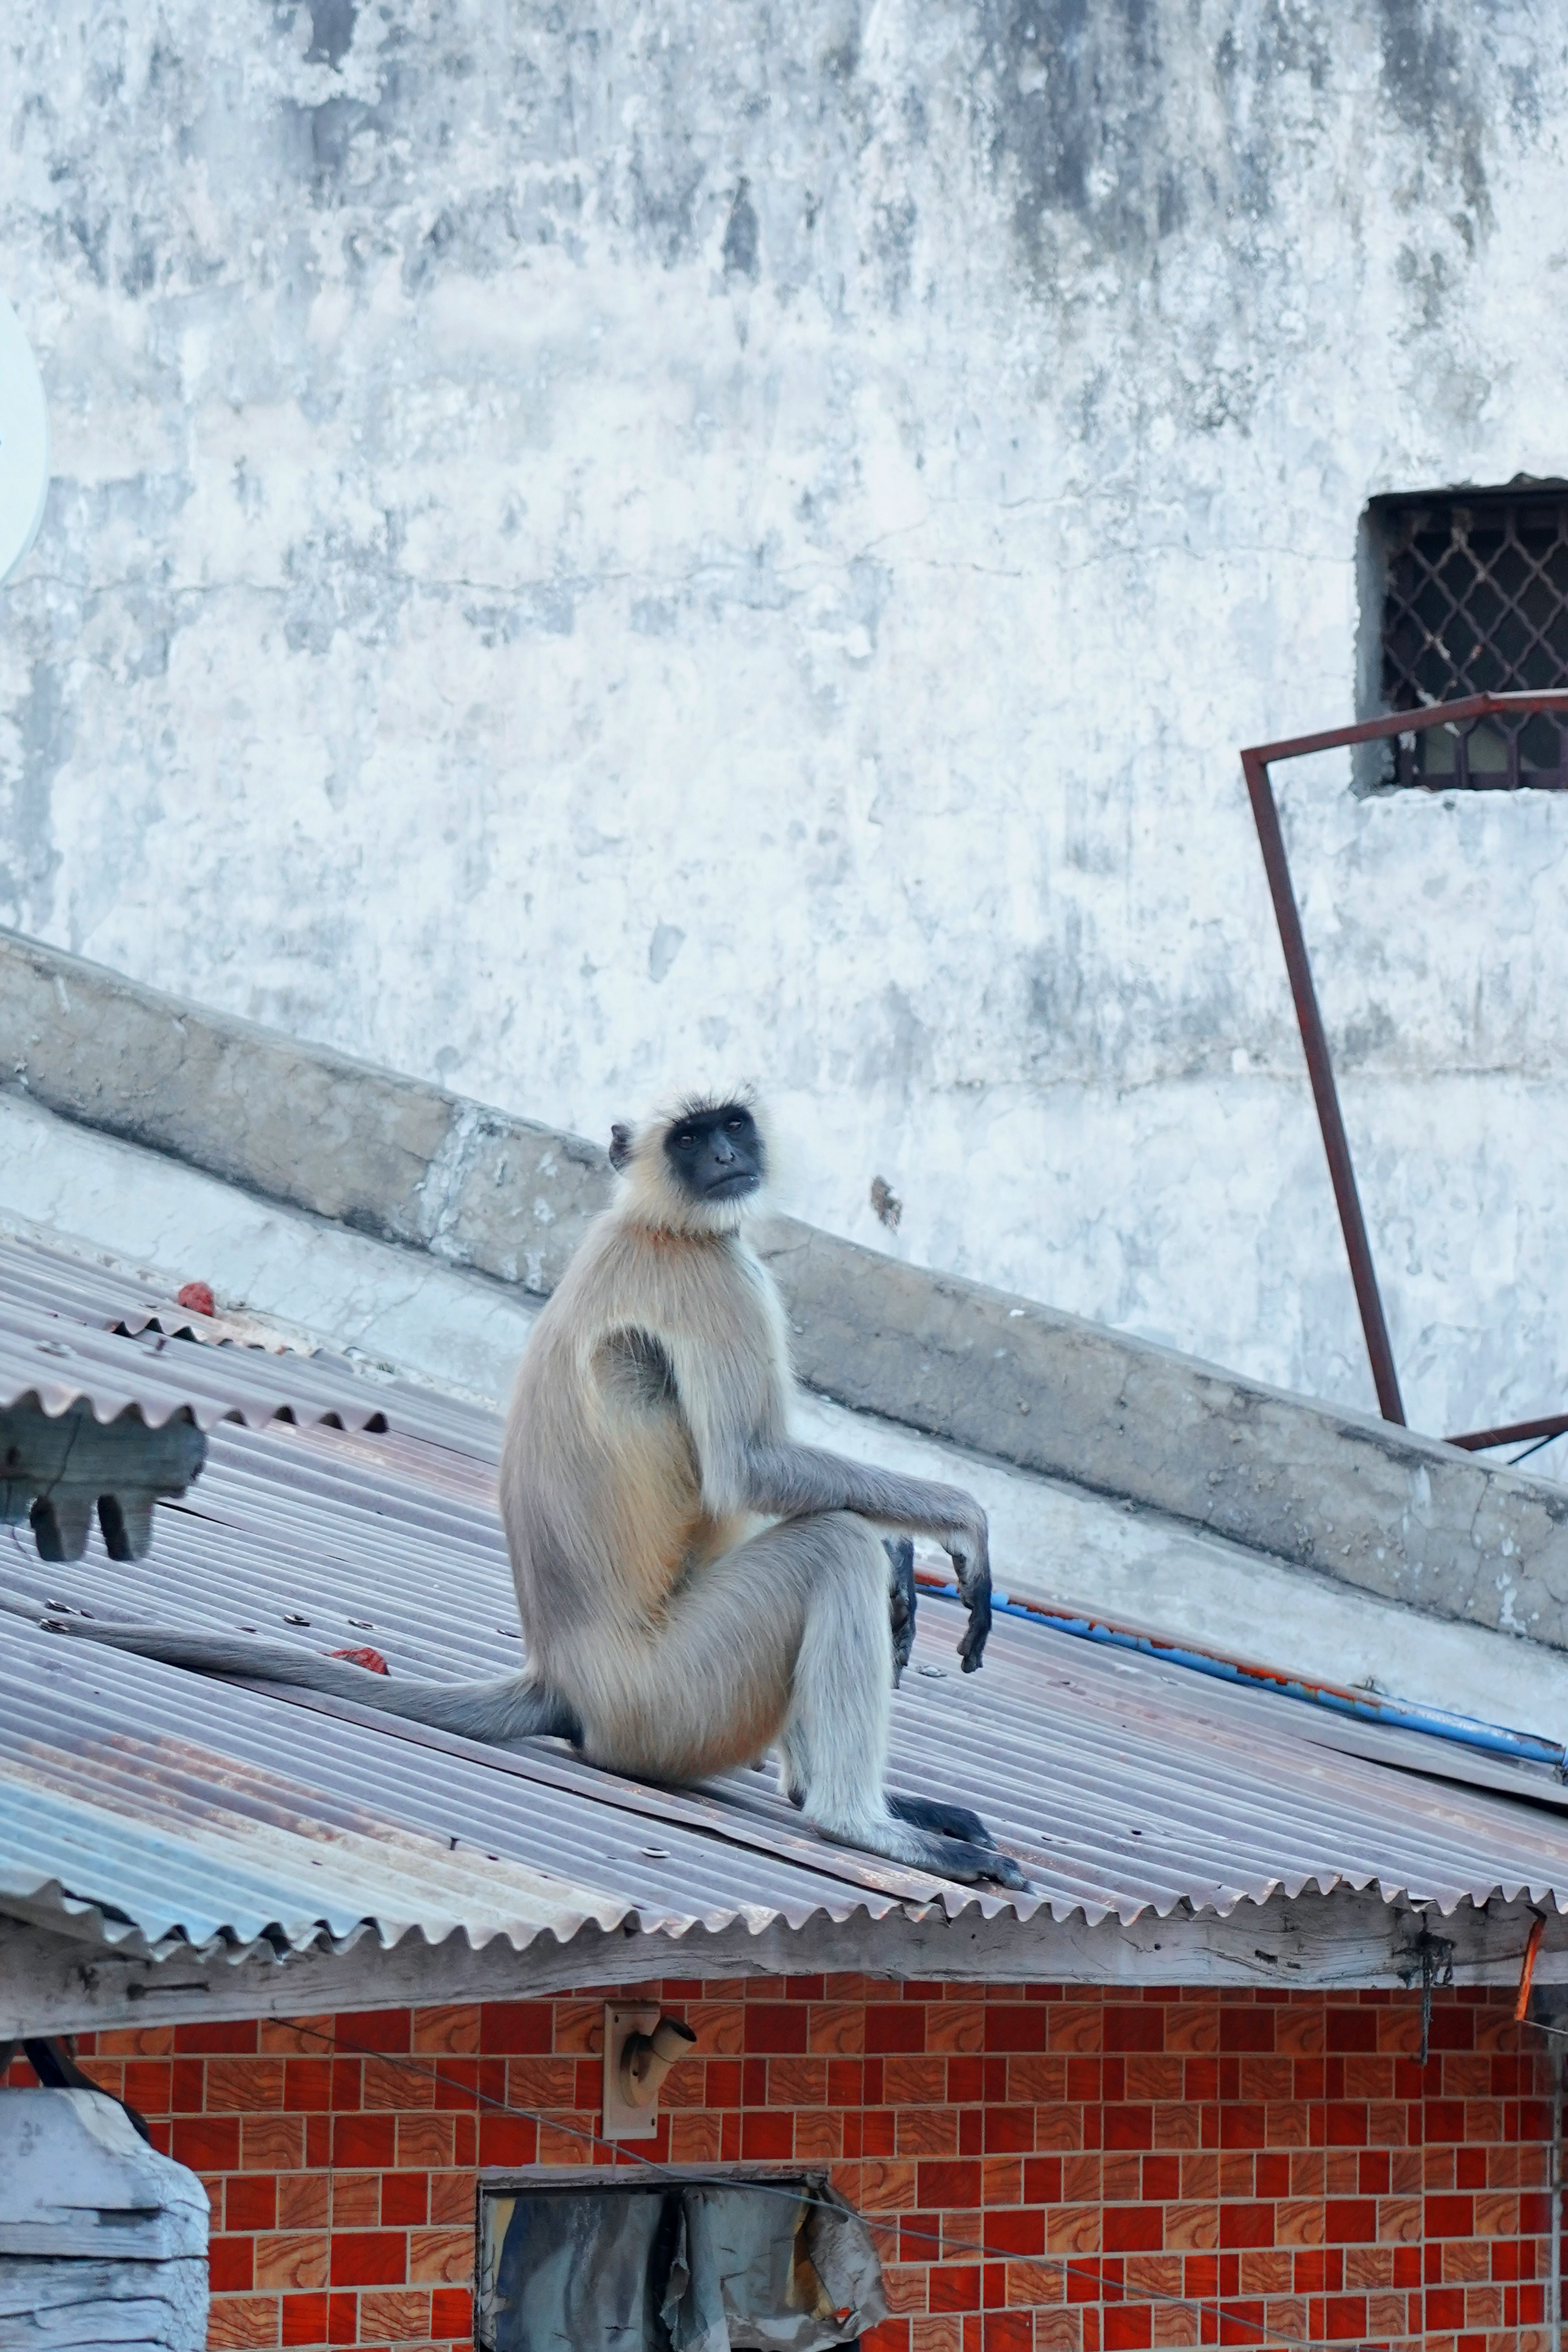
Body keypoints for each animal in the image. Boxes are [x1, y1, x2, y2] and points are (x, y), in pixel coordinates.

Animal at [53, 1092, 1022, 1889]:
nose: (722, 1158)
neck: (652, 1222)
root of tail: (563, 1677)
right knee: (830, 1546)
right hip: (673, 1700)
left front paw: (909, 1558)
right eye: (689, 1137)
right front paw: (958, 1526)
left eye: (732, 1124)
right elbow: (751, 1467)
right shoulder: (713, 1280)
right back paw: (851, 1821)